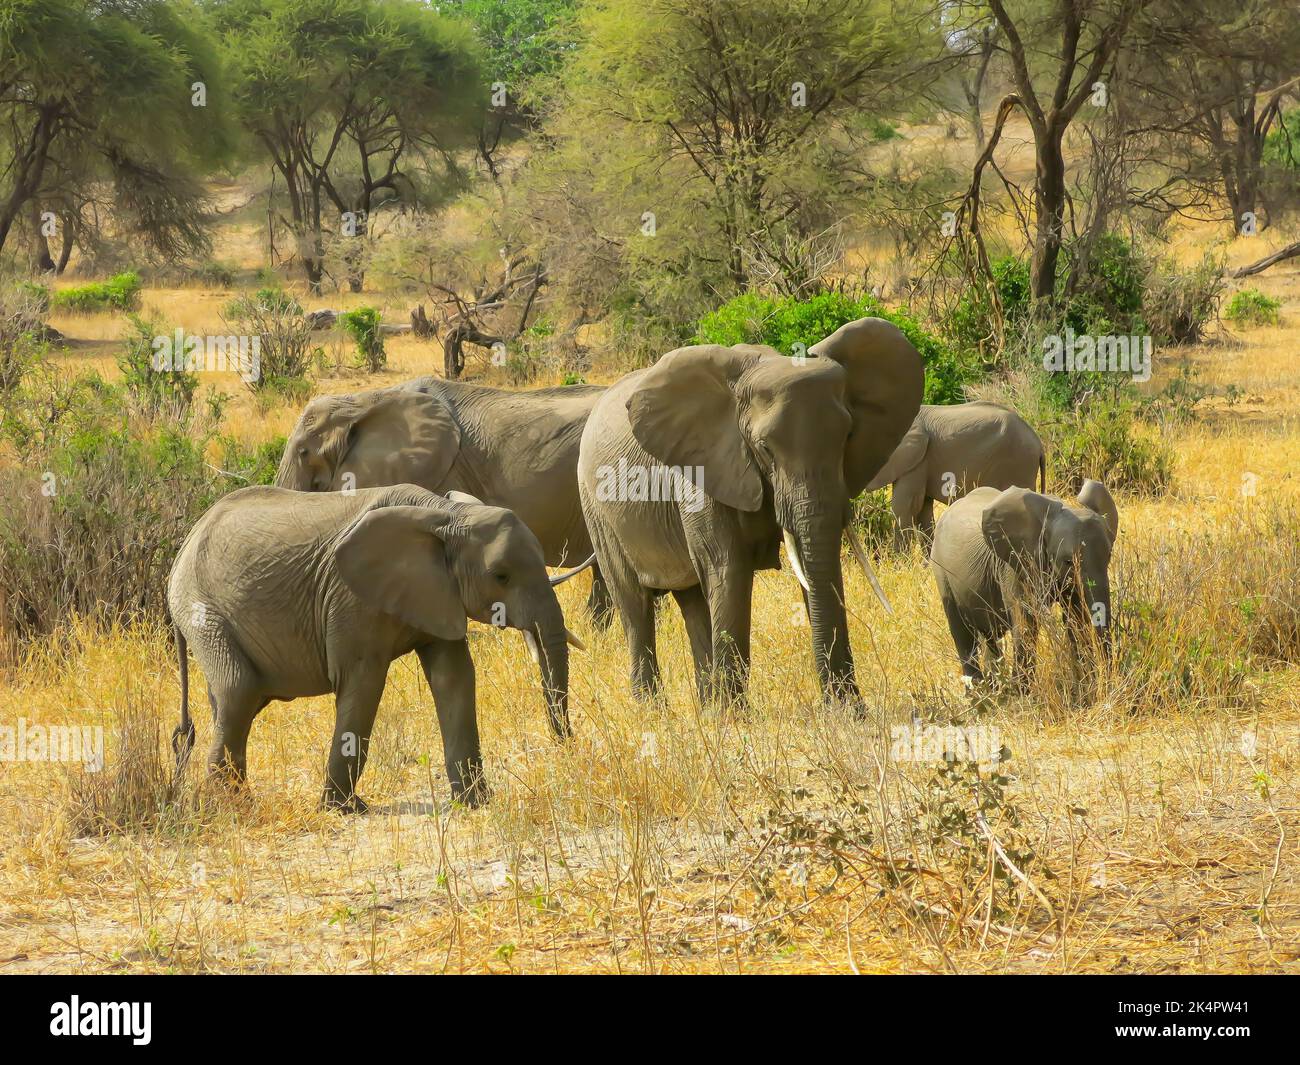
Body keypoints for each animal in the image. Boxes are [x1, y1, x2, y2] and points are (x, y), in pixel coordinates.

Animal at [167, 484, 590, 810]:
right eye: (500, 576)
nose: (567, 745)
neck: (445, 515)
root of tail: (186, 541)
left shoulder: (438, 592)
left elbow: (454, 678)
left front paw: (475, 803)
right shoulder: (349, 598)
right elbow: (362, 682)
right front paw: (344, 809)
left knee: (239, 702)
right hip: (201, 606)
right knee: (239, 690)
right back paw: (231, 808)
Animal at [576, 317, 923, 708]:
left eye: (847, 437)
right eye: (764, 448)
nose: (848, 705)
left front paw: (846, 712)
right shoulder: (703, 467)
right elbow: (727, 567)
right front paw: (737, 717)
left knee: (692, 601)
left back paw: (707, 708)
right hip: (596, 509)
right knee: (634, 603)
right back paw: (655, 710)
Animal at [866, 401, 1046, 550]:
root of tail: (1039, 443)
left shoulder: (917, 459)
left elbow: (905, 507)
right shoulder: (922, 461)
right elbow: (923, 510)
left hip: (1018, 463)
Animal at [929, 479, 1119, 687]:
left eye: (1109, 555)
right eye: (1068, 561)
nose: (1107, 681)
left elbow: (1076, 619)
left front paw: (1085, 687)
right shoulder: (1015, 565)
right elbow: (1026, 622)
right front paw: (1022, 692)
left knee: (989, 636)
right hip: (940, 569)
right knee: (962, 633)